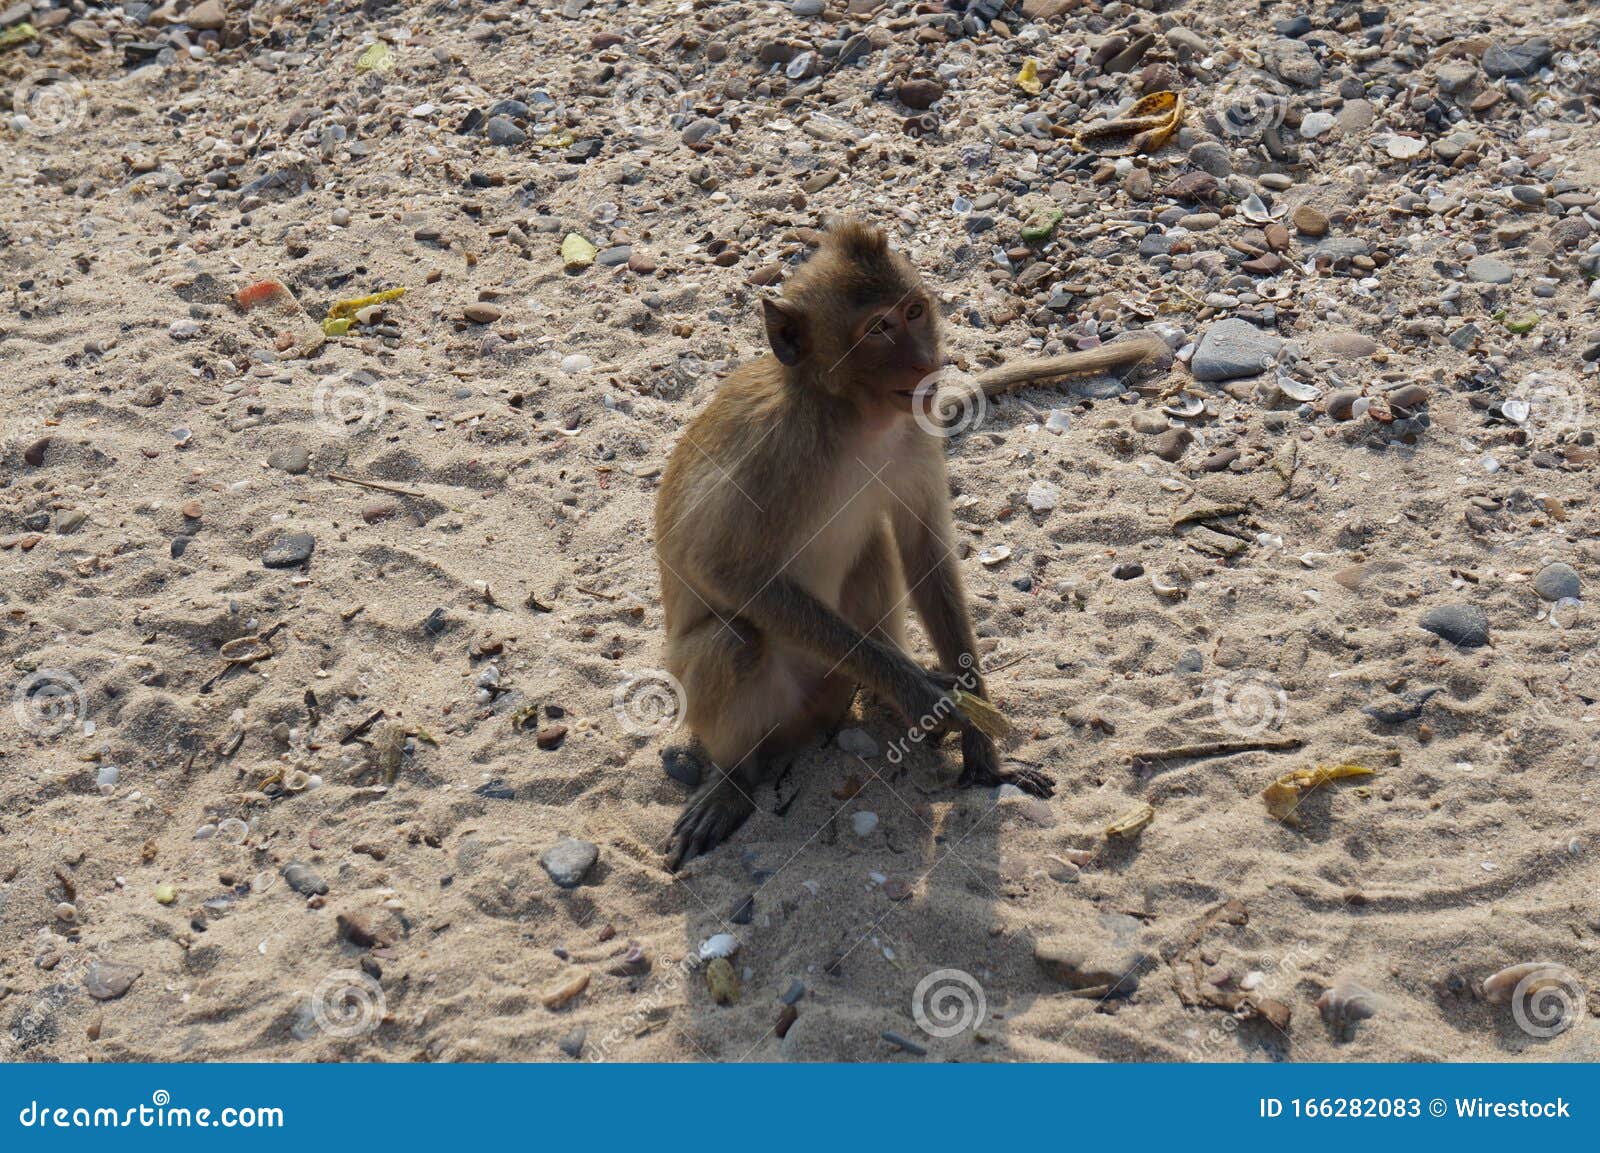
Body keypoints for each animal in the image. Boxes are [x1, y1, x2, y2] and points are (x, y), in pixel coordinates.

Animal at [652, 218, 1166, 870]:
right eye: (879, 328)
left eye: (915, 312)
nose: (927, 362)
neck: (848, 415)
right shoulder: (772, 451)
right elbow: (725, 569)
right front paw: (922, 696)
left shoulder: (914, 432)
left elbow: (926, 550)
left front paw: (979, 743)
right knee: (733, 640)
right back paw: (736, 780)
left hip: (833, 687)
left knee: (872, 546)